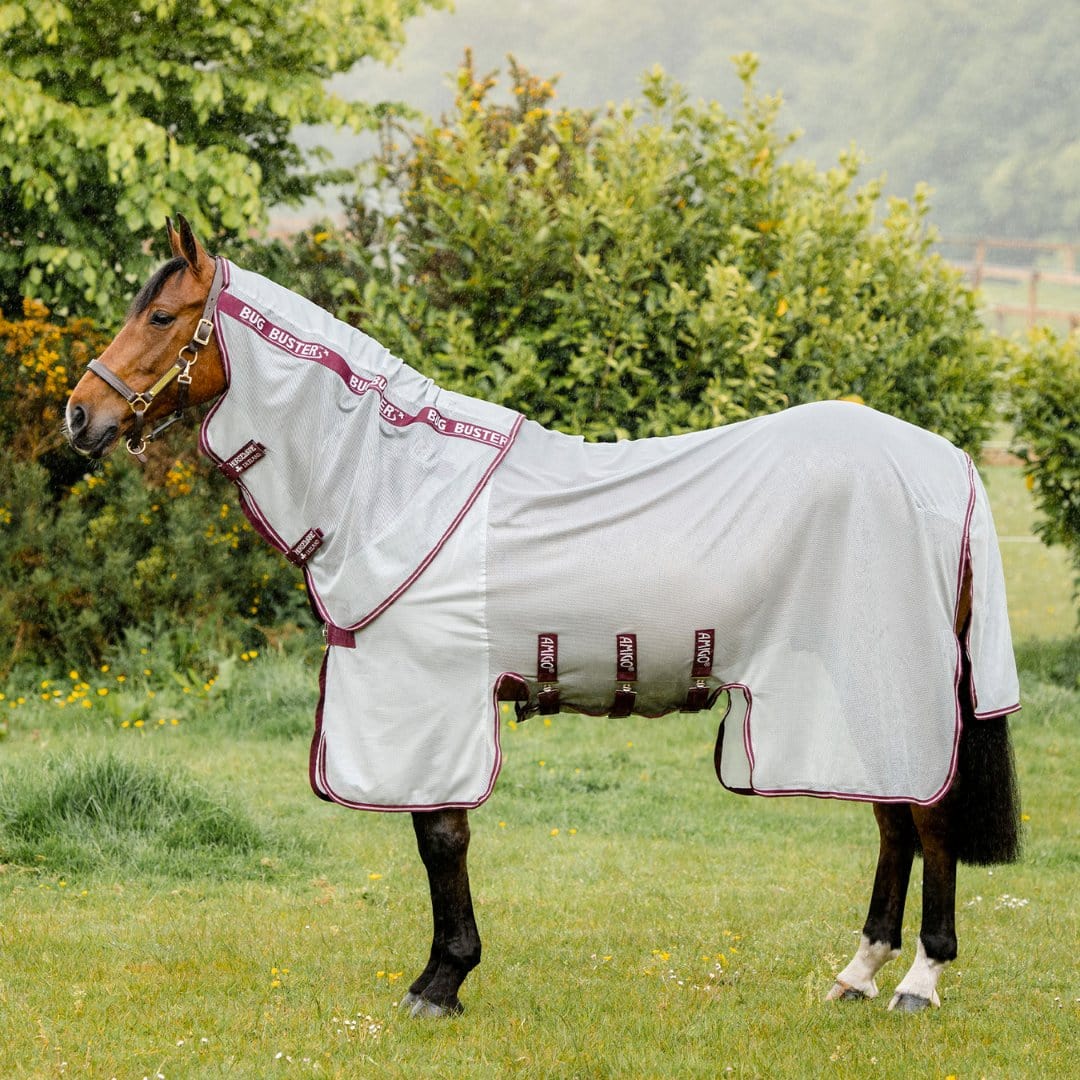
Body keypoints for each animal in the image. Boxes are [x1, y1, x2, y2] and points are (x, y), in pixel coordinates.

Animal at [65, 215, 1022, 1017]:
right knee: (895, 821)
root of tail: (948, 463)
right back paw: (858, 973)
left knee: (929, 821)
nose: (81, 414)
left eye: (161, 317)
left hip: (885, 678)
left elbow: (441, 838)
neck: (394, 483)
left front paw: (441, 981)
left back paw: (920, 980)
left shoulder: (431, 699)